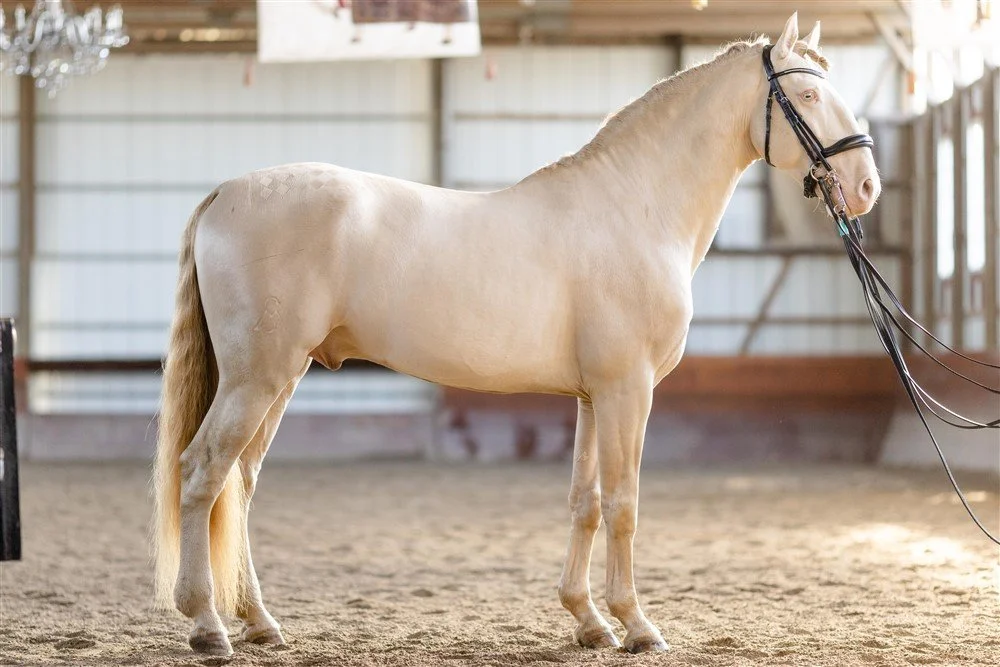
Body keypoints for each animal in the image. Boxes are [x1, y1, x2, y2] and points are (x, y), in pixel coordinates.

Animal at [153, 13, 880, 656]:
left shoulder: (593, 397)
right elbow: (624, 502)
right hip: (257, 377)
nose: (866, 186)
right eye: (808, 96)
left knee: (239, 485)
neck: (635, 209)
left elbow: (586, 501)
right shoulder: (628, 389)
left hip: (280, 377)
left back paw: (260, 622)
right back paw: (208, 625)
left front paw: (589, 621)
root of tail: (224, 193)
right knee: (203, 472)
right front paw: (637, 625)